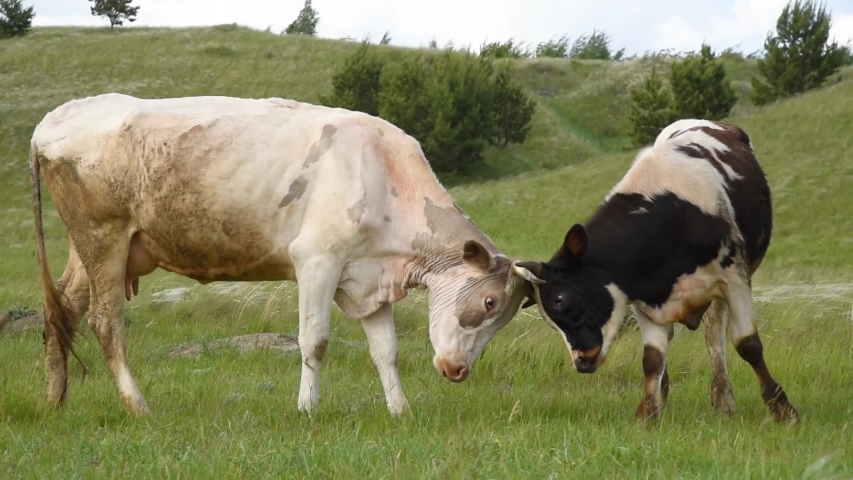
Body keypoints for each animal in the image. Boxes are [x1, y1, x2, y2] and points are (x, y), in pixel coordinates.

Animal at [29, 93, 533, 416]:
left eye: (505, 316)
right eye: (489, 302)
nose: (458, 371)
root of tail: (54, 117)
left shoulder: (367, 276)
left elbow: (386, 351)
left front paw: (401, 410)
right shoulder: (317, 260)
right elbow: (315, 340)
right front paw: (307, 408)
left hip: (89, 248)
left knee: (63, 311)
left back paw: (54, 401)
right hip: (104, 237)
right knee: (105, 322)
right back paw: (138, 406)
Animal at [511, 119, 800, 424]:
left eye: (560, 299)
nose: (581, 362)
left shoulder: (735, 278)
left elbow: (748, 344)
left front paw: (782, 409)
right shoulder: (644, 297)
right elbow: (652, 358)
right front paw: (648, 413)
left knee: (715, 336)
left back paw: (723, 398)